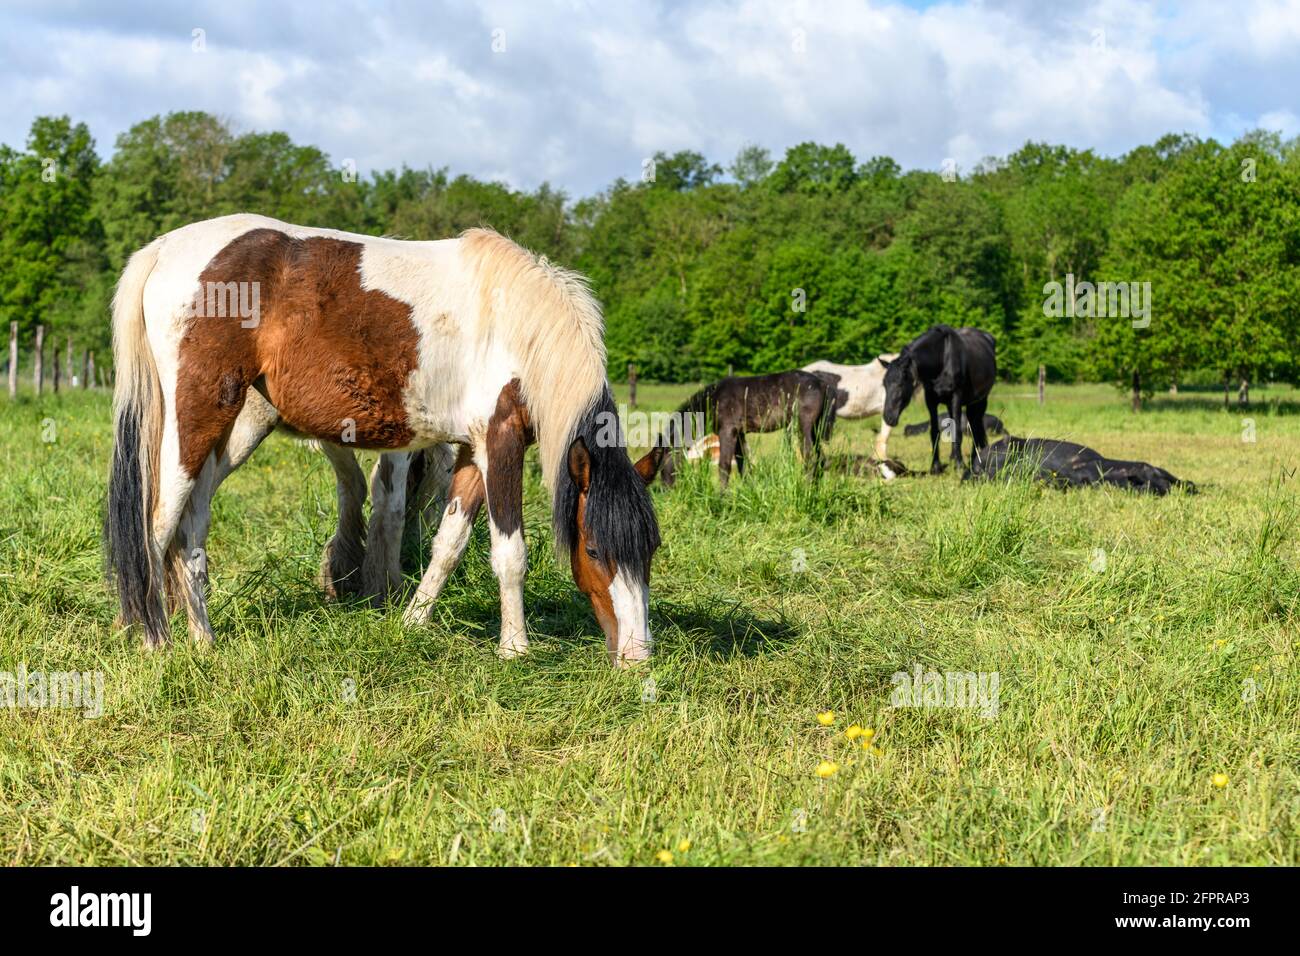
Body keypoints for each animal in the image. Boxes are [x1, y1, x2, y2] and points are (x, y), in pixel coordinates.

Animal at [104, 214, 663, 667]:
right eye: (593, 549)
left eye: (651, 549)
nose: (637, 657)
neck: (520, 329)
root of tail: (164, 249)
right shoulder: (501, 441)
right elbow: (510, 553)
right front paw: (515, 648)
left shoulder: (470, 450)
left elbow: (448, 543)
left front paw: (413, 621)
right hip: (197, 420)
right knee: (157, 525)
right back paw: (155, 640)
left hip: (226, 436)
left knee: (190, 529)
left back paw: (203, 639)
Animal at [655, 370, 836, 489]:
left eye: (664, 458)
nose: (665, 487)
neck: (714, 399)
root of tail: (823, 384)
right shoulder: (739, 434)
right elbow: (743, 465)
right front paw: (747, 492)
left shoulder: (727, 432)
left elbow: (724, 466)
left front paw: (721, 498)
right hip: (815, 429)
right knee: (821, 459)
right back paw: (815, 490)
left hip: (803, 426)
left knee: (810, 458)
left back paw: (807, 490)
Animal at [877, 325, 996, 476]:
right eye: (884, 384)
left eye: (900, 384)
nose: (888, 417)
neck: (942, 359)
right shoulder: (931, 401)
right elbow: (934, 432)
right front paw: (936, 467)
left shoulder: (956, 397)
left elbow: (957, 431)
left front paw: (960, 465)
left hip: (979, 401)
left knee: (975, 427)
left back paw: (973, 460)